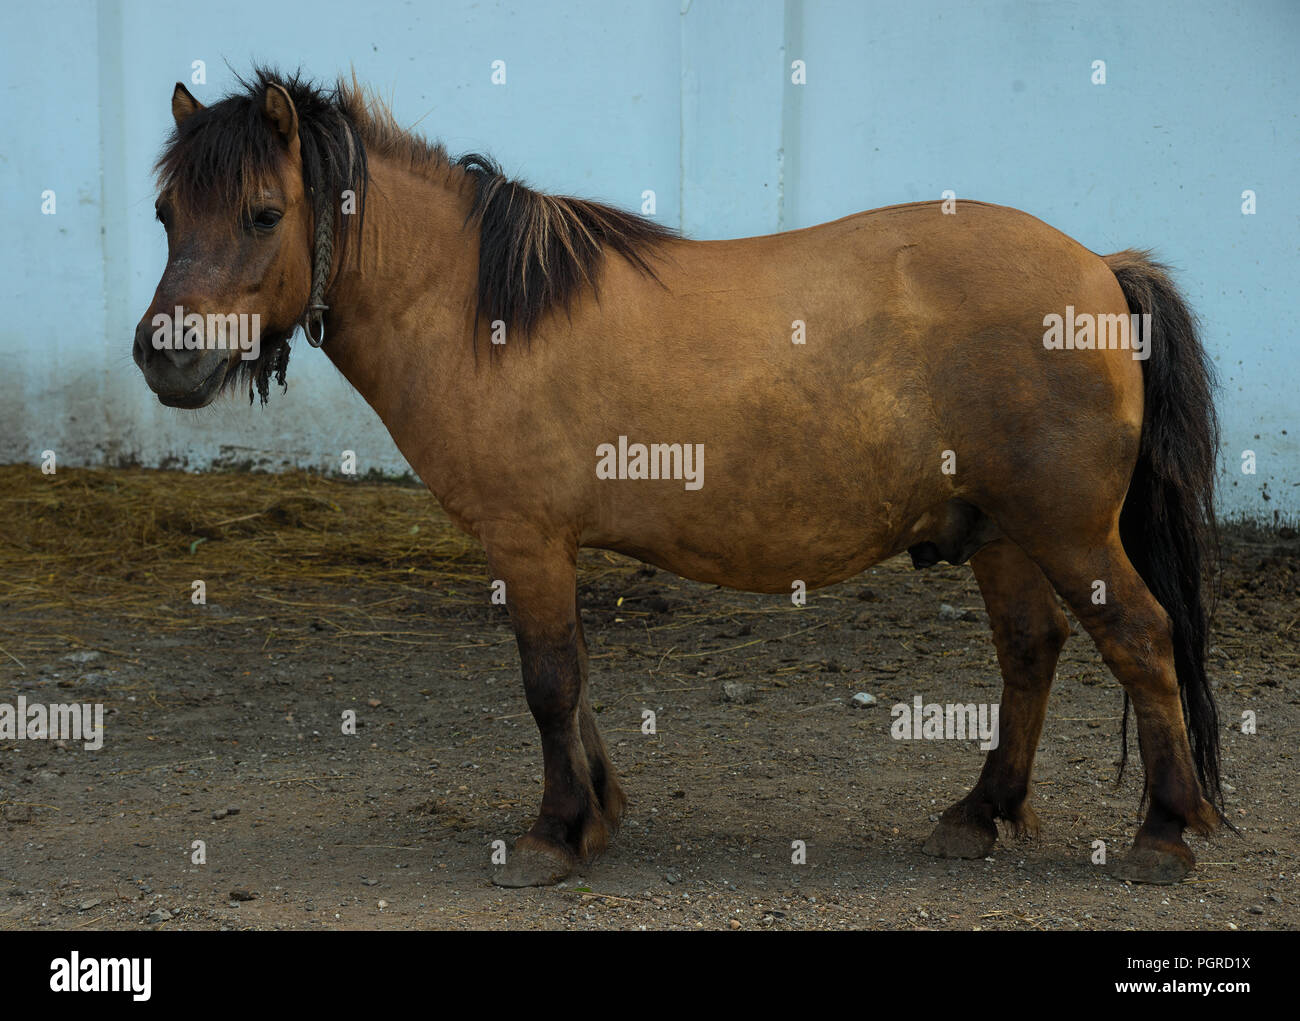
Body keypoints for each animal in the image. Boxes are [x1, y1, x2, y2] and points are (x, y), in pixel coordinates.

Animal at [134, 68, 1225, 887]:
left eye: (263, 212)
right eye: (164, 212)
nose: (166, 357)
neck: (480, 310)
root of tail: (1099, 267)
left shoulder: (528, 540)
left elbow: (548, 682)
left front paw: (551, 833)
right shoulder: (549, 547)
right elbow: (575, 679)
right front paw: (598, 814)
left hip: (1067, 529)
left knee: (1141, 638)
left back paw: (1163, 831)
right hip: (1001, 531)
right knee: (1030, 651)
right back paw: (978, 812)